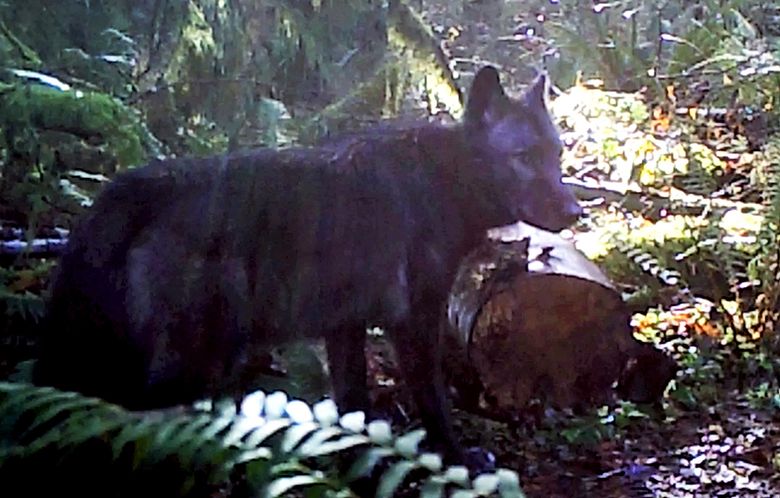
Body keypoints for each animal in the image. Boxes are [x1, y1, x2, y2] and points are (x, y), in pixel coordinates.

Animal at [34, 66, 581, 464]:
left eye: (556, 154)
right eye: (524, 156)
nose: (577, 212)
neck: (442, 181)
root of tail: (126, 189)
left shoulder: (345, 328)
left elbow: (354, 406)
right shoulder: (414, 326)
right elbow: (435, 406)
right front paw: (457, 459)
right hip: (200, 360)